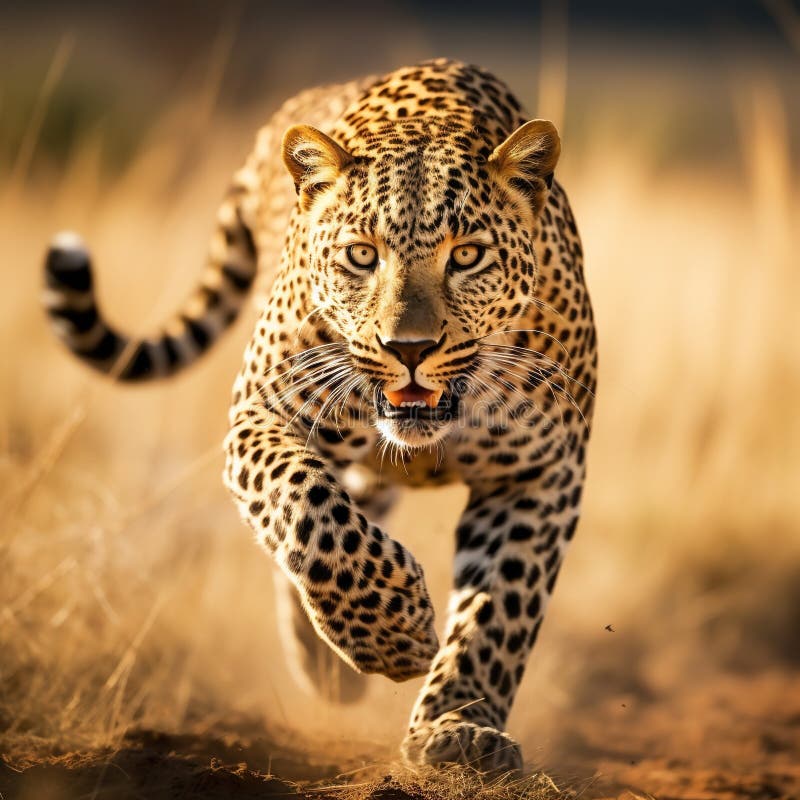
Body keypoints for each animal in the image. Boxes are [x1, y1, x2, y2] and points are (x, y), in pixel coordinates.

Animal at [43, 58, 596, 774]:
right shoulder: (261, 412)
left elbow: (498, 607)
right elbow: (308, 509)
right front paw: (393, 635)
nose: (409, 348)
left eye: (467, 255)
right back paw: (326, 658)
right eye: (361, 255)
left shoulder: (540, 472)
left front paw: (457, 727)